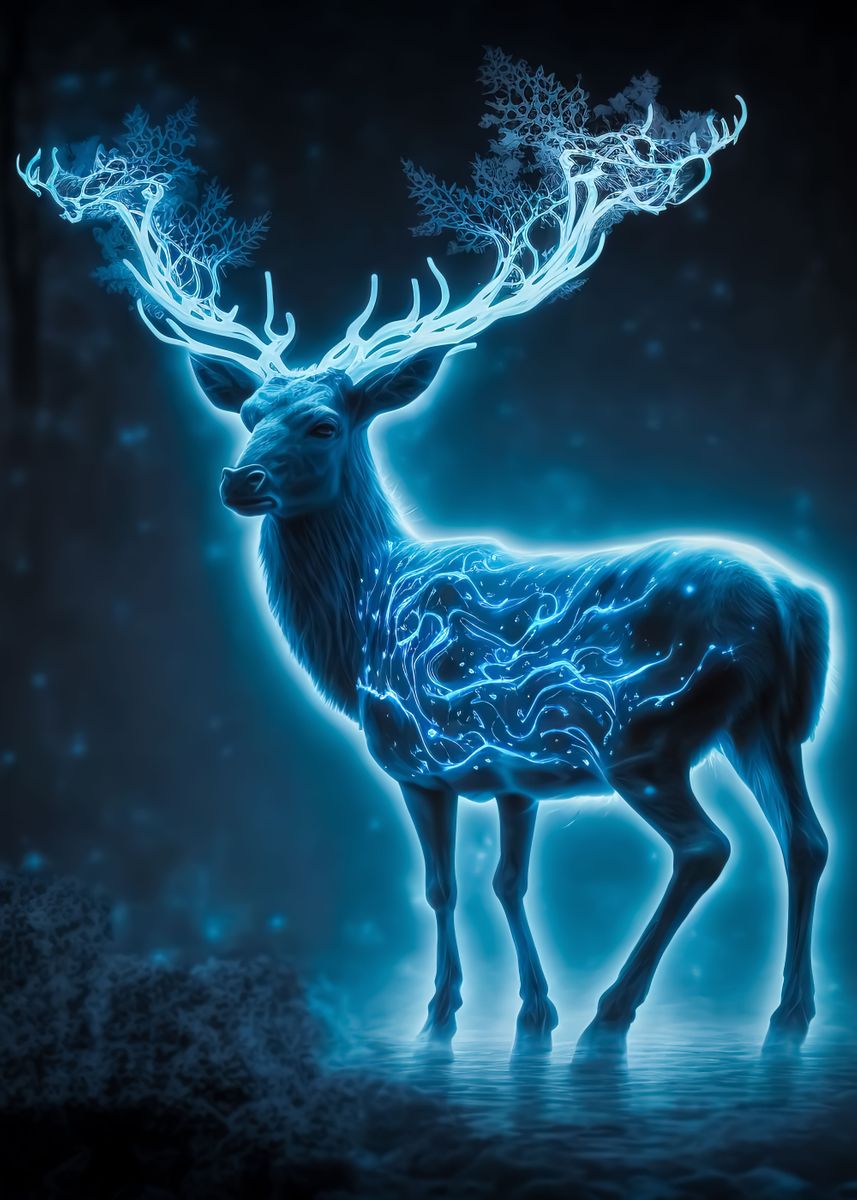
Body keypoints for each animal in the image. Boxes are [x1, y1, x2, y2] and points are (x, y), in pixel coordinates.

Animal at [19, 51, 831, 1060]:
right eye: (249, 415)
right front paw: (526, 1015)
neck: (355, 627)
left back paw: (612, 1018)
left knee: (707, 848)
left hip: (649, 735)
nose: (239, 482)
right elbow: (507, 882)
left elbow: (442, 886)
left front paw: (444, 1017)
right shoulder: (509, 773)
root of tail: (793, 596)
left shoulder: (410, 753)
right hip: (770, 725)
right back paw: (786, 1020)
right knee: (805, 839)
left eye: (324, 423)